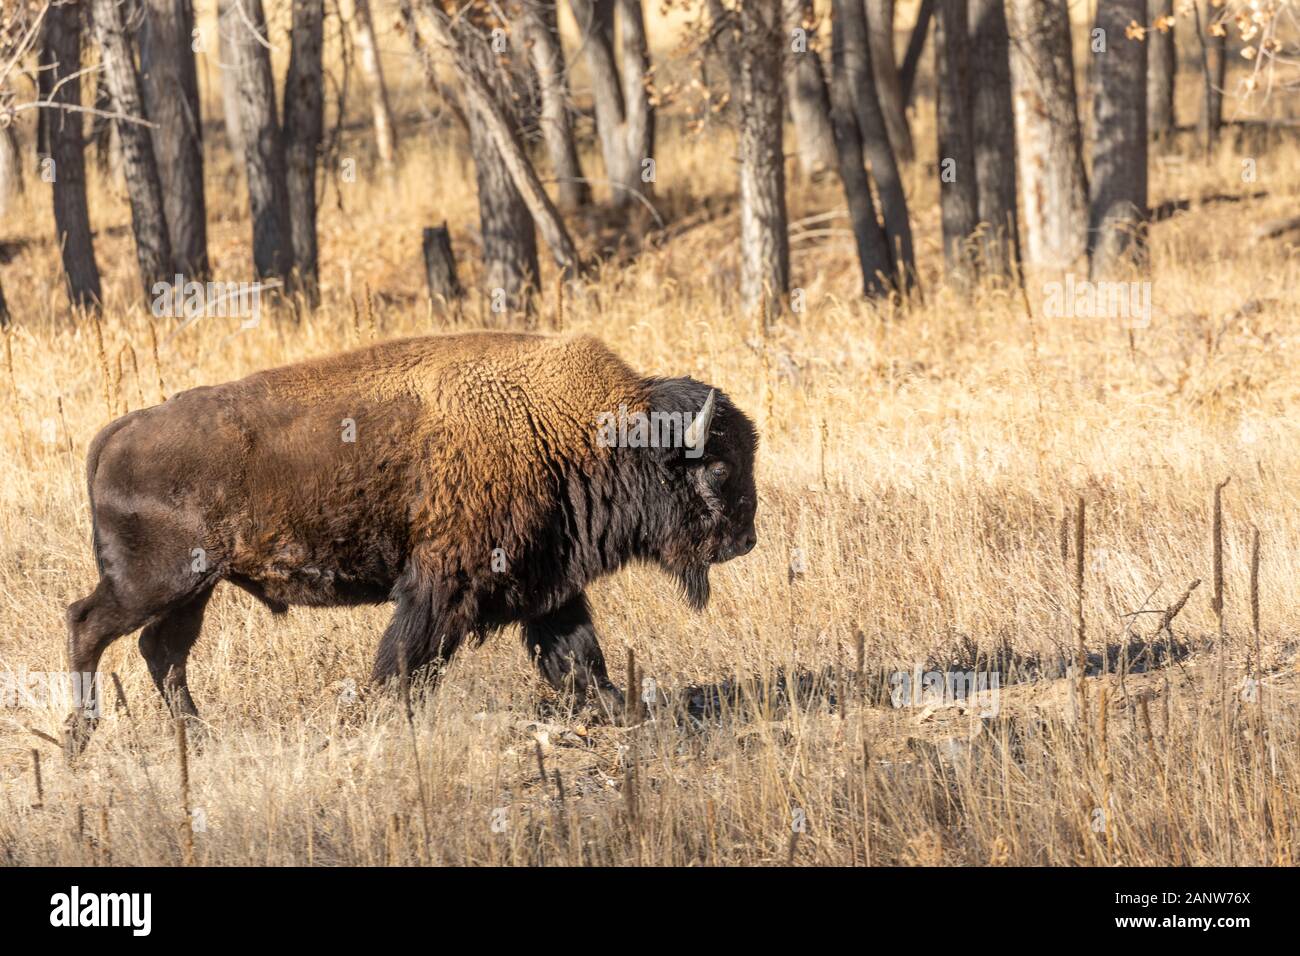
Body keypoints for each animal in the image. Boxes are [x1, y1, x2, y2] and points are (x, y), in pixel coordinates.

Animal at [64, 332, 758, 752]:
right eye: (718, 468)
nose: (746, 539)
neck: (571, 431)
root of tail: (115, 432)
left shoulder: (547, 585)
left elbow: (579, 655)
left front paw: (621, 709)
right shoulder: (444, 584)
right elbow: (409, 657)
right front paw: (378, 715)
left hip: (192, 590)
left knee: (162, 652)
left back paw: (198, 736)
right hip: (155, 582)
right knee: (87, 625)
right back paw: (79, 737)